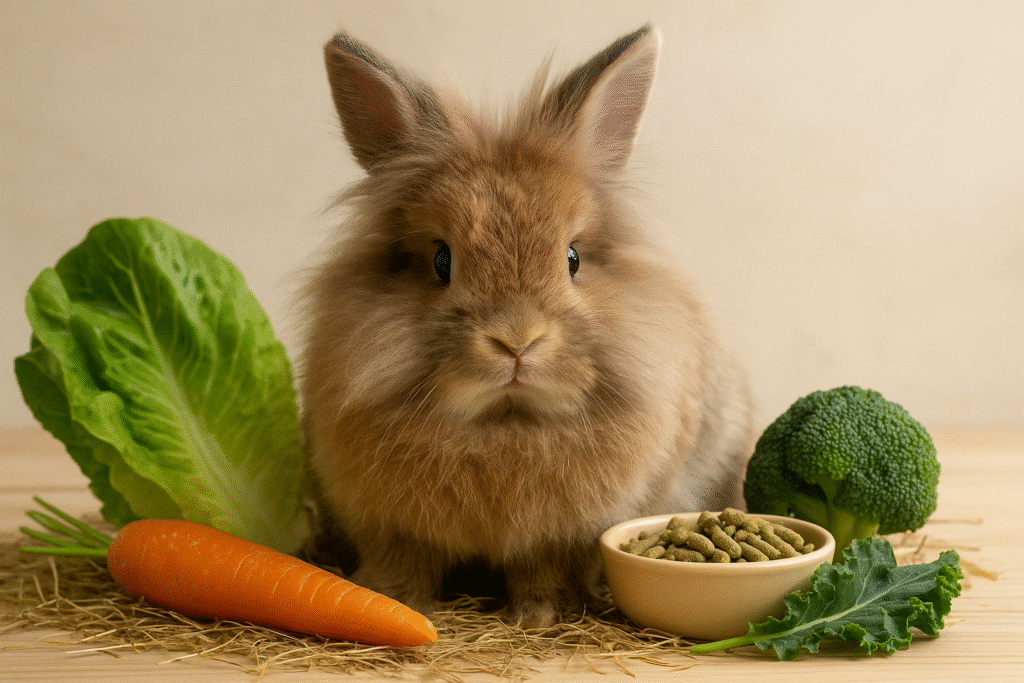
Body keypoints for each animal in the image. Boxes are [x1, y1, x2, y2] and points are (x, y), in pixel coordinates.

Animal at [301, 24, 754, 628]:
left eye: (573, 258)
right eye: (441, 260)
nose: (516, 342)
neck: (505, 424)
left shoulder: (562, 538)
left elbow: (542, 572)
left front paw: (539, 618)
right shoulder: (389, 528)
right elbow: (405, 567)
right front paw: (398, 603)